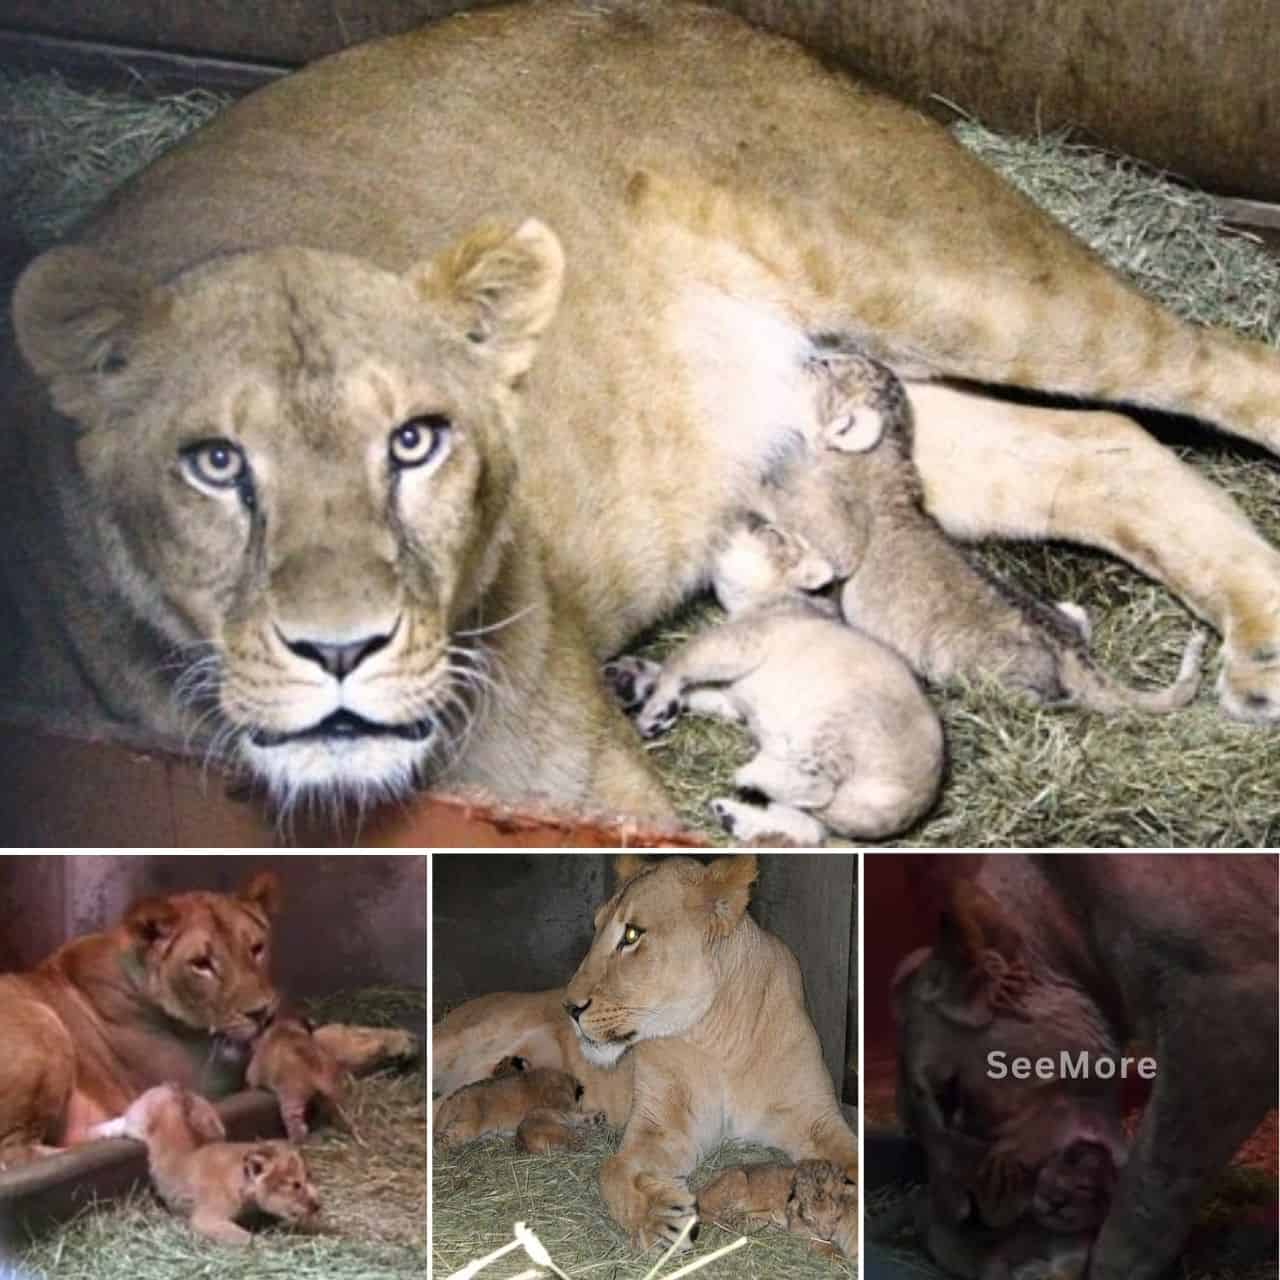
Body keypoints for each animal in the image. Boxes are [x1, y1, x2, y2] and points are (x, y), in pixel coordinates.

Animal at [8, 0, 1280, 830]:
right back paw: (1258, 642)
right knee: (1100, 445)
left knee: (1227, 365)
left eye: (416, 441)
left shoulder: (592, 790)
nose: (339, 648)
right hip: (826, 408)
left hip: (945, 275)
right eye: (215, 464)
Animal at [91, 1083, 321, 1246]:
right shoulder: (206, 1219)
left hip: (216, 1123)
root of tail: (172, 1086)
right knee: (123, 1120)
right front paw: (266, 1246)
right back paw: (99, 1131)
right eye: (295, 1185)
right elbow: (244, 1238)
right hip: (137, 1122)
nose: (318, 1206)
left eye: (309, 1176)